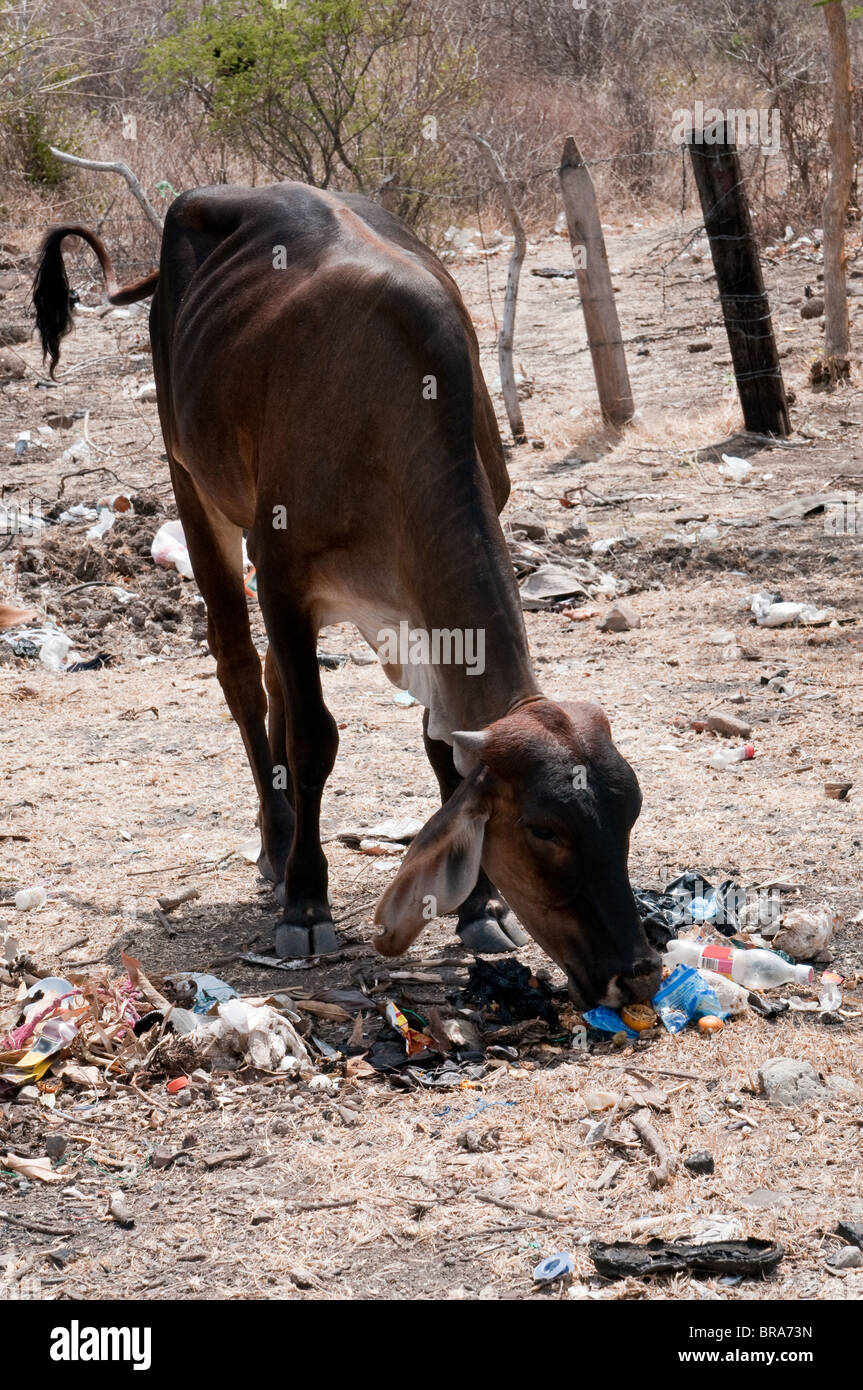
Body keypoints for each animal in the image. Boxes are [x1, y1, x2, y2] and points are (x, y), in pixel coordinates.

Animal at [32, 184, 660, 1010]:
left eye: (629, 815)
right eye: (543, 830)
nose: (637, 971)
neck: (392, 412)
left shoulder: (420, 610)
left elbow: (439, 741)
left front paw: (478, 908)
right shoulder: (283, 569)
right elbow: (313, 740)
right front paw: (306, 902)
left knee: (269, 674)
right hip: (193, 482)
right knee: (240, 670)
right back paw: (276, 845)